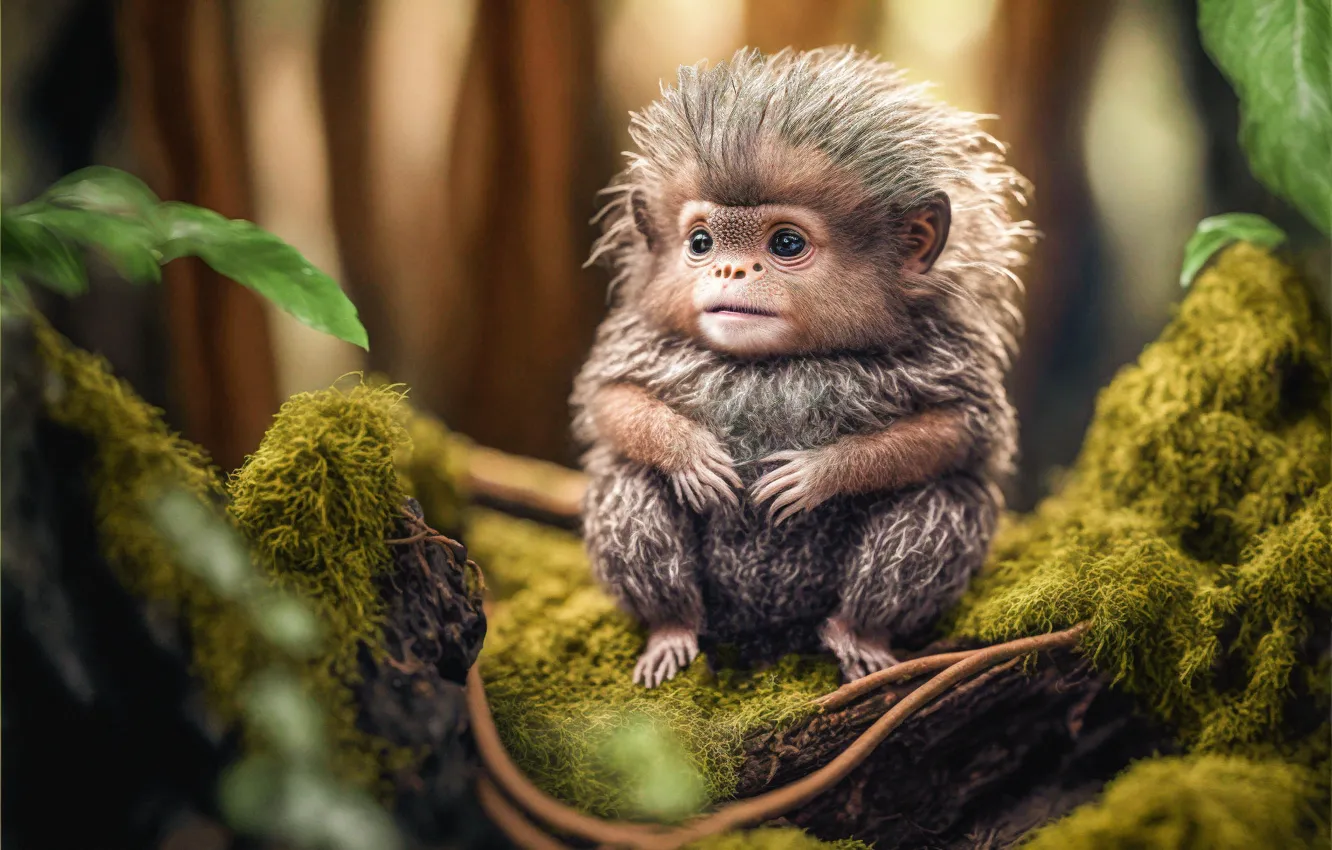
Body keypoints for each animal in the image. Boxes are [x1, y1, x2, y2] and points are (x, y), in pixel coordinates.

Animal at [570, 47, 1035, 687]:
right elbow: (613, 401)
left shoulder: (950, 358)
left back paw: (857, 632)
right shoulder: (639, 339)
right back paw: (671, 627)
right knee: (628, 478)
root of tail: (768, 633)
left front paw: (820, 473)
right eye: (701, 243)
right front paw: (690, 453)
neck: (775, 363)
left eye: (786, 244)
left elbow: (951, 431)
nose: (730, 271)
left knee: (939, 498)